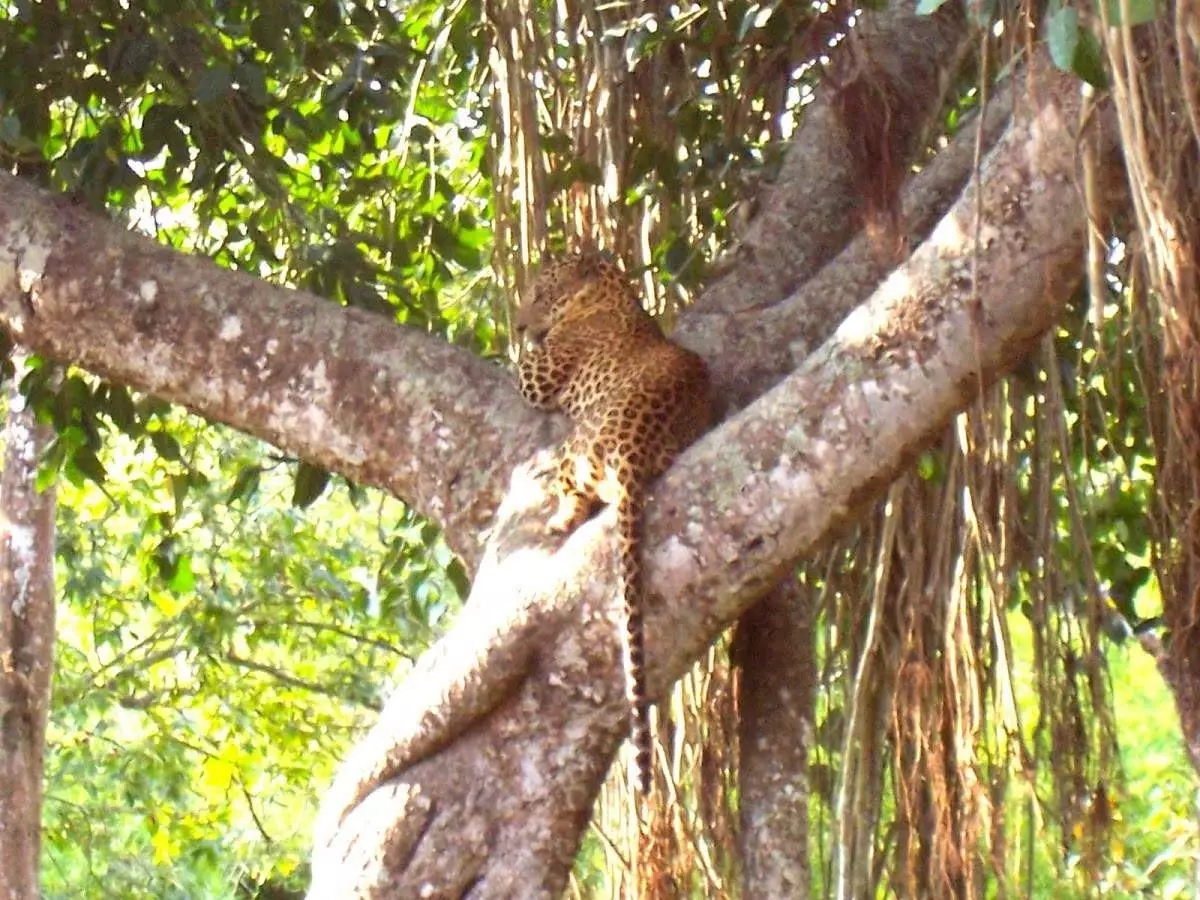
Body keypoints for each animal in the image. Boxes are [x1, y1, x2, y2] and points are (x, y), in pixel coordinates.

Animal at [508, 250, 705, 792]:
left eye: (540, 294)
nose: (520, 325)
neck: (609, 289)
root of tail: (634, 450)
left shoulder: (538, 375)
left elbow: (516, 369)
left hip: (575, 448)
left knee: (575, 499)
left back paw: (555, 515)